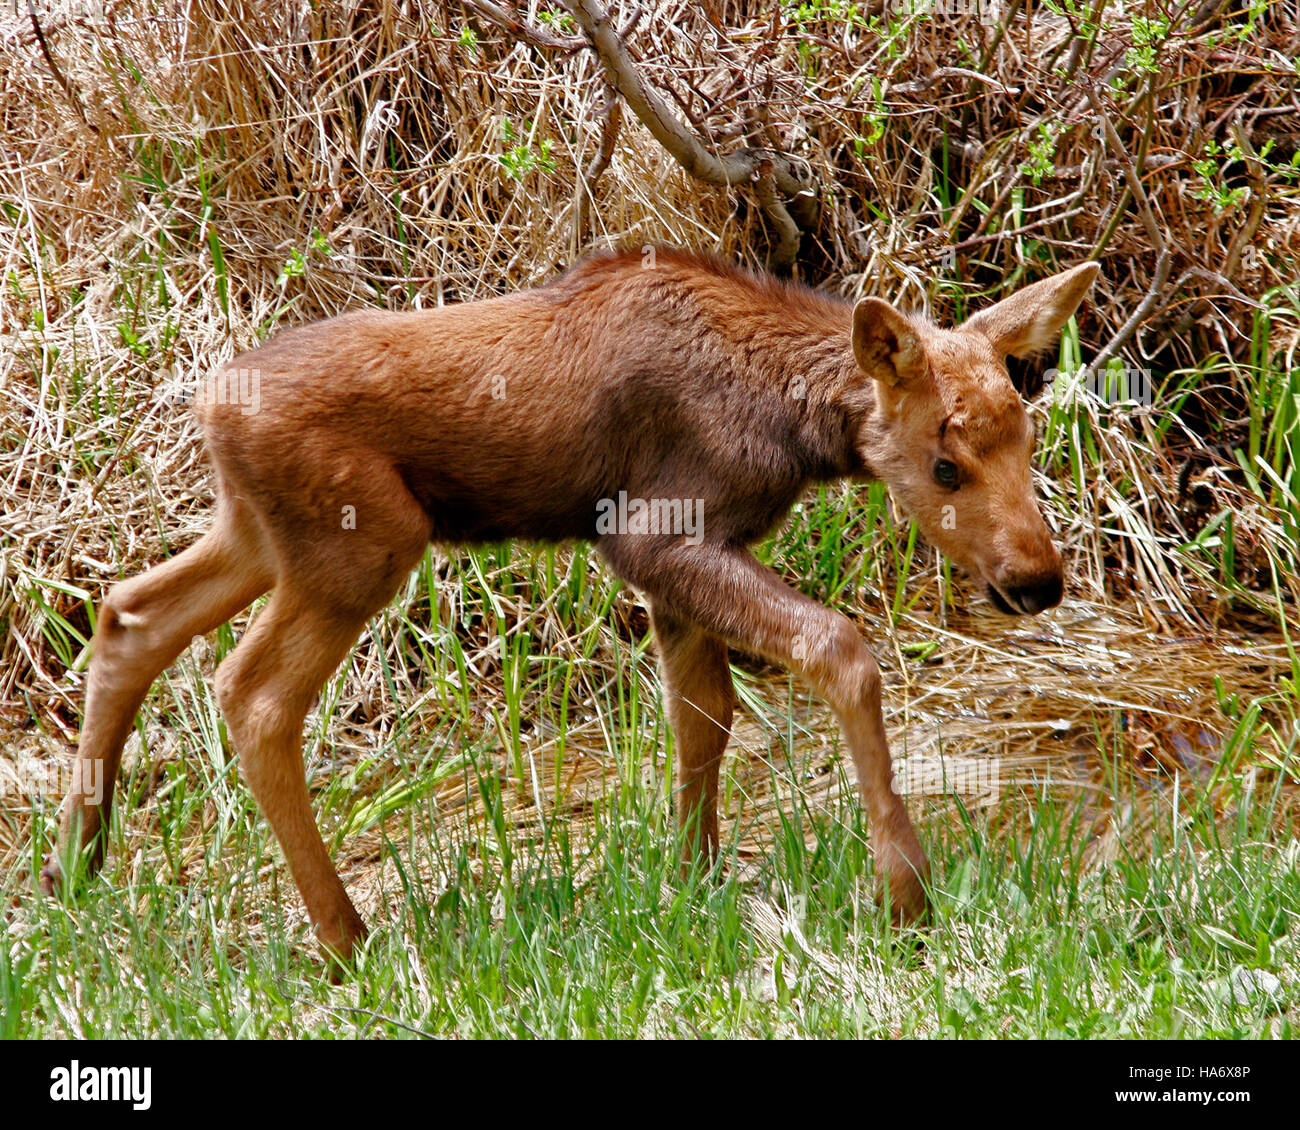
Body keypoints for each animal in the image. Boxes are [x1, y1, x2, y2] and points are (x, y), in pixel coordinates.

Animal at [40, 247, 1100, 973]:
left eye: (1027, 435)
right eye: (945, 463)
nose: (1037, 579)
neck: (797, 427)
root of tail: (210, 405)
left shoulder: (676, 563)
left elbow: (703, 716)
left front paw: (691, 879)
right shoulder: (655, 533)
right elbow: (835, 647)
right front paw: (904, 894)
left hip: (261, 535)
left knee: (130, 613)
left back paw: (74, 868)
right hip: (361, 544)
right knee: (252, 693)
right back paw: (346, 938)